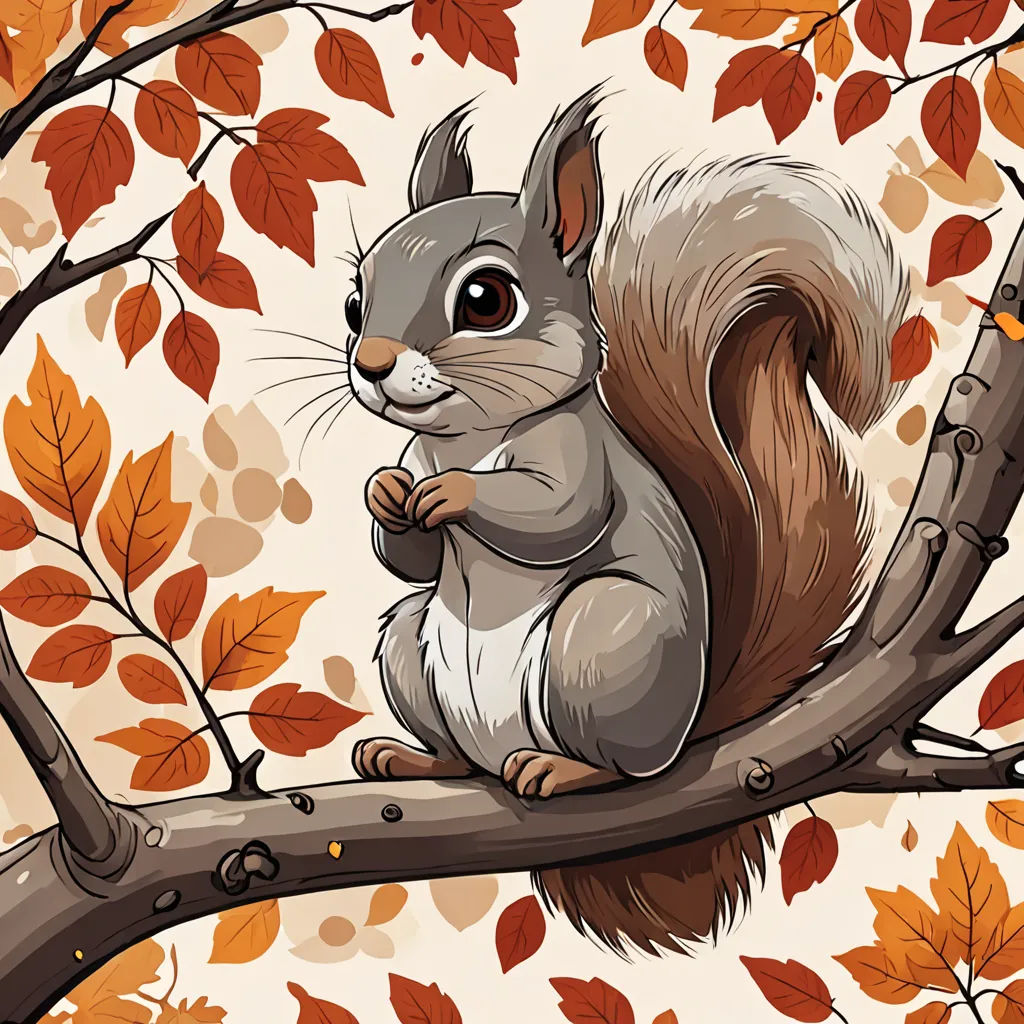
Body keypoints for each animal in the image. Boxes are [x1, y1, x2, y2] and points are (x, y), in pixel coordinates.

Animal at [347, 86, 910, 954]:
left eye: (485, 299)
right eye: (355, 298)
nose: (370, 364)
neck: (466, 438)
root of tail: (690, 730)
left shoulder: (581, 457)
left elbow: (558, 515)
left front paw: (451, 499)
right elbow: (405, 561)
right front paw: (386, 496)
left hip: (603, 643)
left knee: (626, 765)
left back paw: (563, 770)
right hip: (413, 648)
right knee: (451, 738)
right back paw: (411, 761)